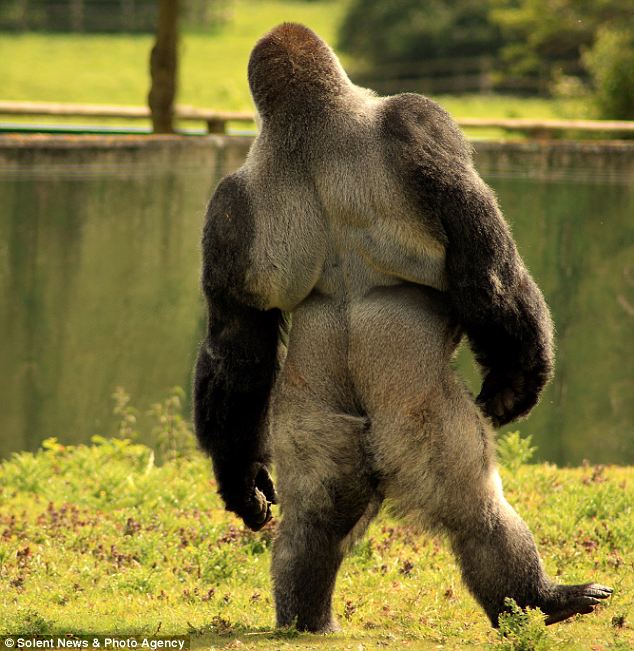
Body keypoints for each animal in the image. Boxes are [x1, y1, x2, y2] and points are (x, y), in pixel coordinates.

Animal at [192, 23, 612, 633]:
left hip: (311, 423)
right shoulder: (419, 121)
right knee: (477, 510)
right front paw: (516, 382)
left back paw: (306, 620)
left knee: (314, 521)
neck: (307, 125)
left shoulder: (224, 207)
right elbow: (489, 275)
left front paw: (240, 480)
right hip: (421, 420)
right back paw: (540, 600)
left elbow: (235, 346)